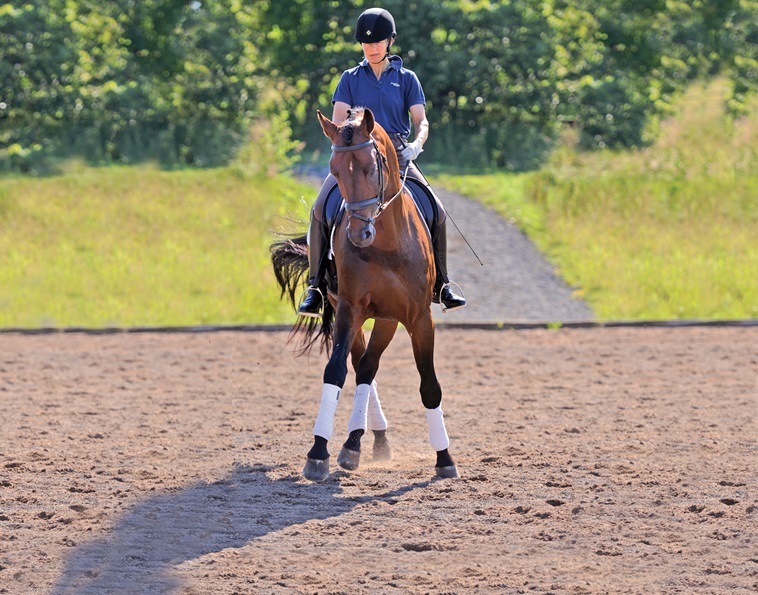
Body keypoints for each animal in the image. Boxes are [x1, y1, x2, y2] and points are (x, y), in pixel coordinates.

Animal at [270, 107, 458, 482]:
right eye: (334, 171)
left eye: (373, 167)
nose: (359, 234)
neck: (386, 244)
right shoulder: (349, 308)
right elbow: (335, 372)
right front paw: (318, 453)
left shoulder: (418, 317)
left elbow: (429, 384)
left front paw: (444, 458)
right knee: (361, 366)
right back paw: (358, 441)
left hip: (387, 318)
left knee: (368, 366)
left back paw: (365, 441)